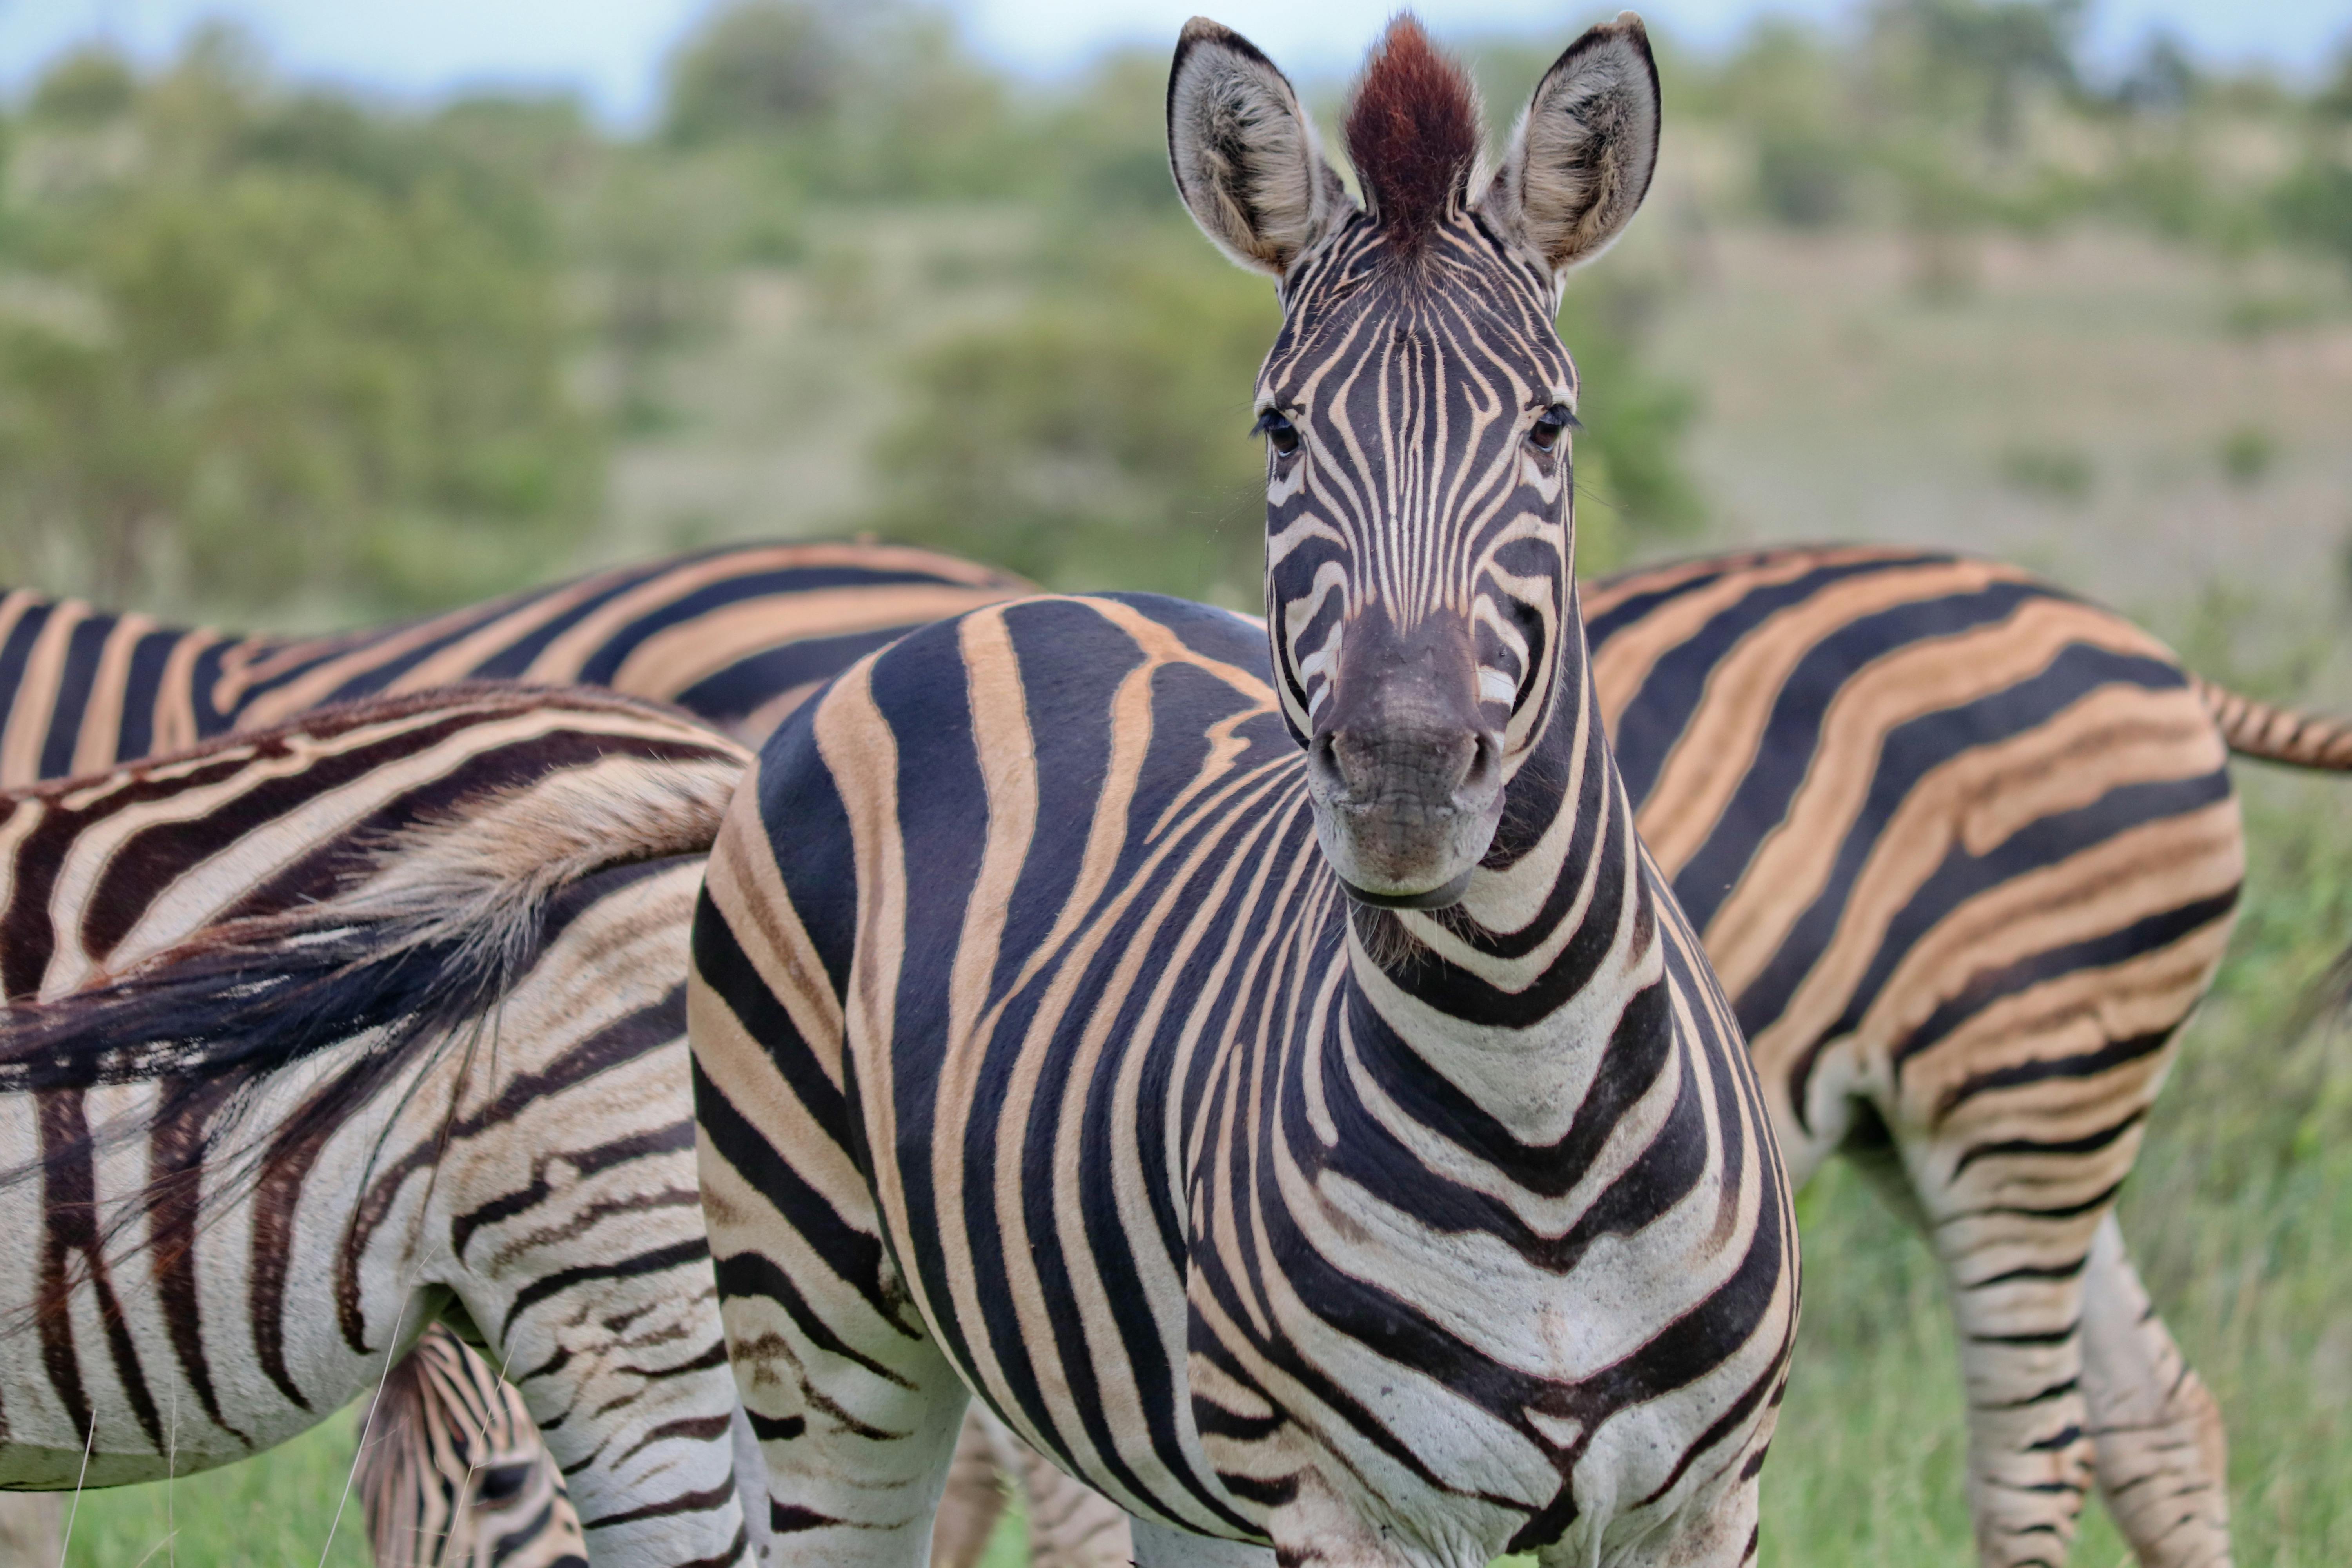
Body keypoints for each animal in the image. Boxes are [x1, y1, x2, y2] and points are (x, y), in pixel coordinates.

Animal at [691, 15, 1802, 1567]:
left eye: (1548, 429)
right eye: (1281, 432)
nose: (1402, 776)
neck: (1535, 1100)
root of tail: (1013, 607)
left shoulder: (1701, 1502)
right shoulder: (1332, 1499)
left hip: (1171, 1471)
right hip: (814, 1321)